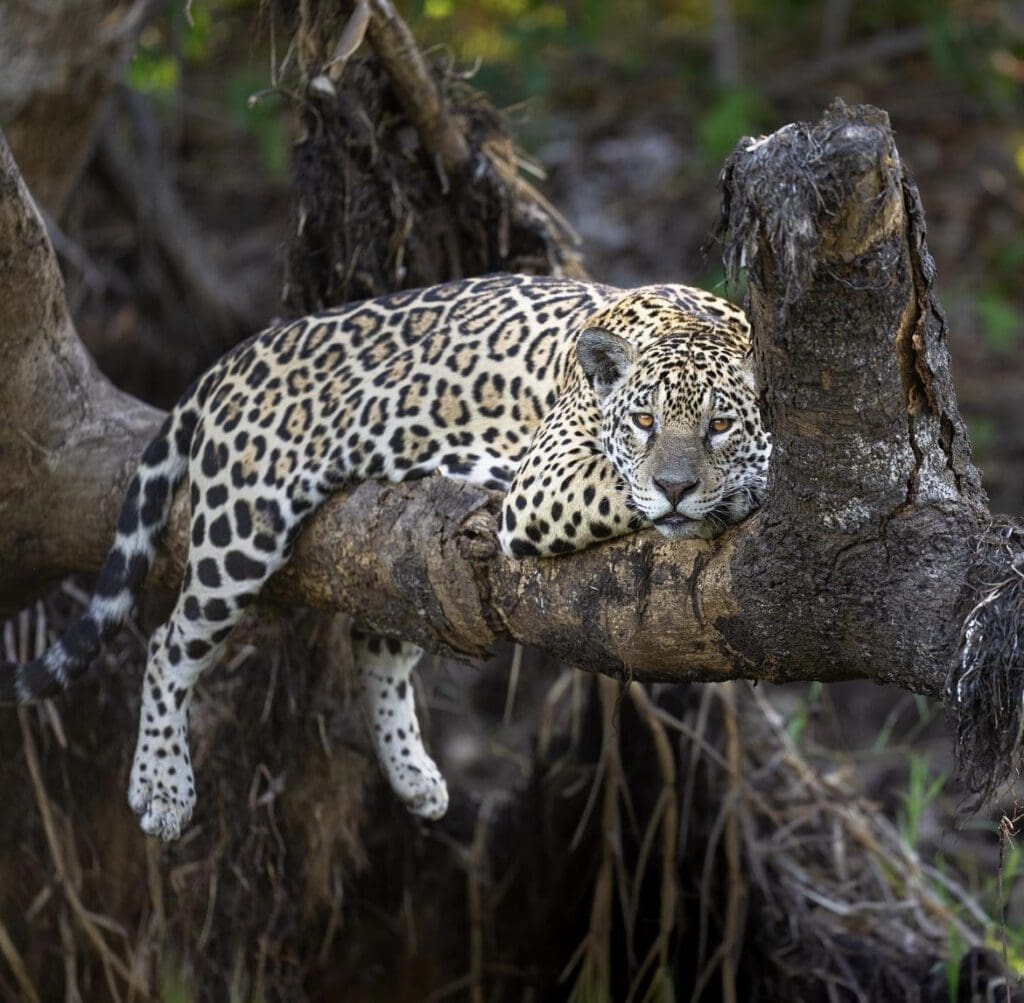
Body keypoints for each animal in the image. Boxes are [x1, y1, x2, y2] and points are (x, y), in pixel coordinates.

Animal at [0, 273, 770, 841]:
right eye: (642, 422)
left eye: (719, 424)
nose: (675, 488)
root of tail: (229, 359)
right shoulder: (541, 482)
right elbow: (621, 485)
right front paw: (739, 490)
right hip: (239, 529)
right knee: (167, 644)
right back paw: (162, 786)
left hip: (405, 566)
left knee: (376, 637)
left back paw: (413, 775)